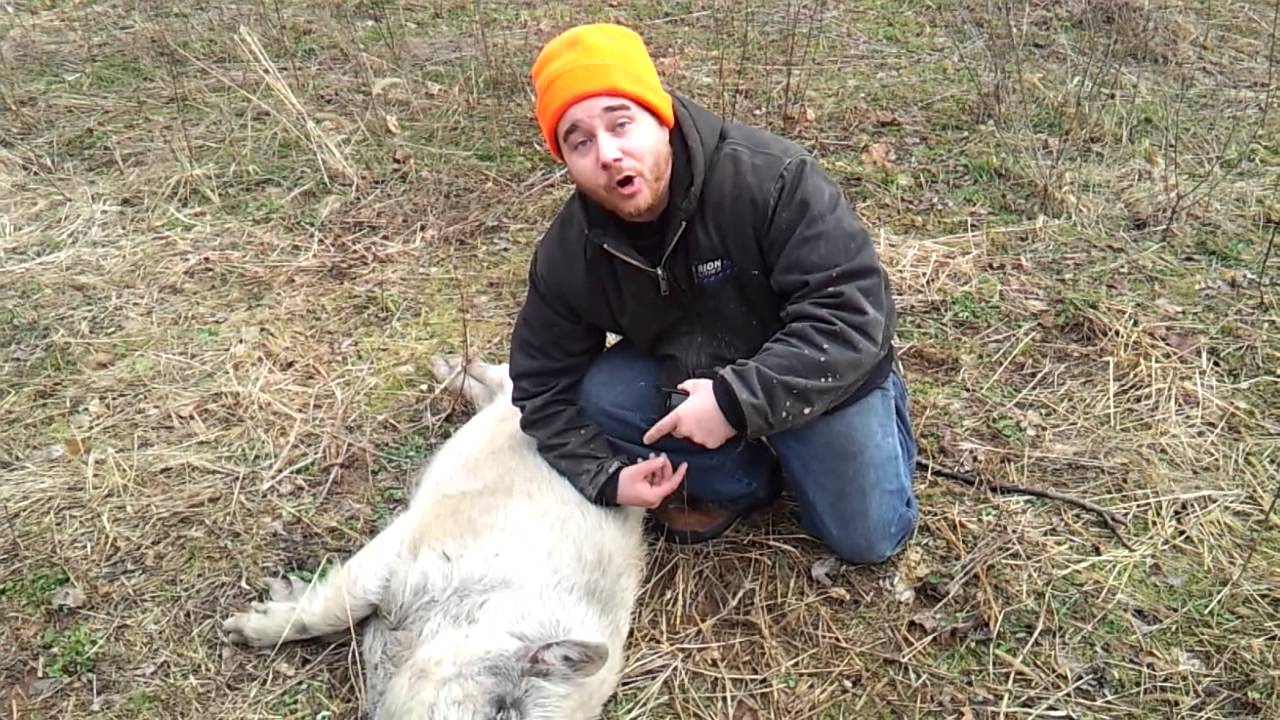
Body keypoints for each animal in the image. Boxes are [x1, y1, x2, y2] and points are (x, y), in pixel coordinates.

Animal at [222, 355, 648, 719]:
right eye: (503, 710)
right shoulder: (412, 538)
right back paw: (446, 364)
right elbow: (336, 606)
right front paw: (235, 629)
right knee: (505, 375)